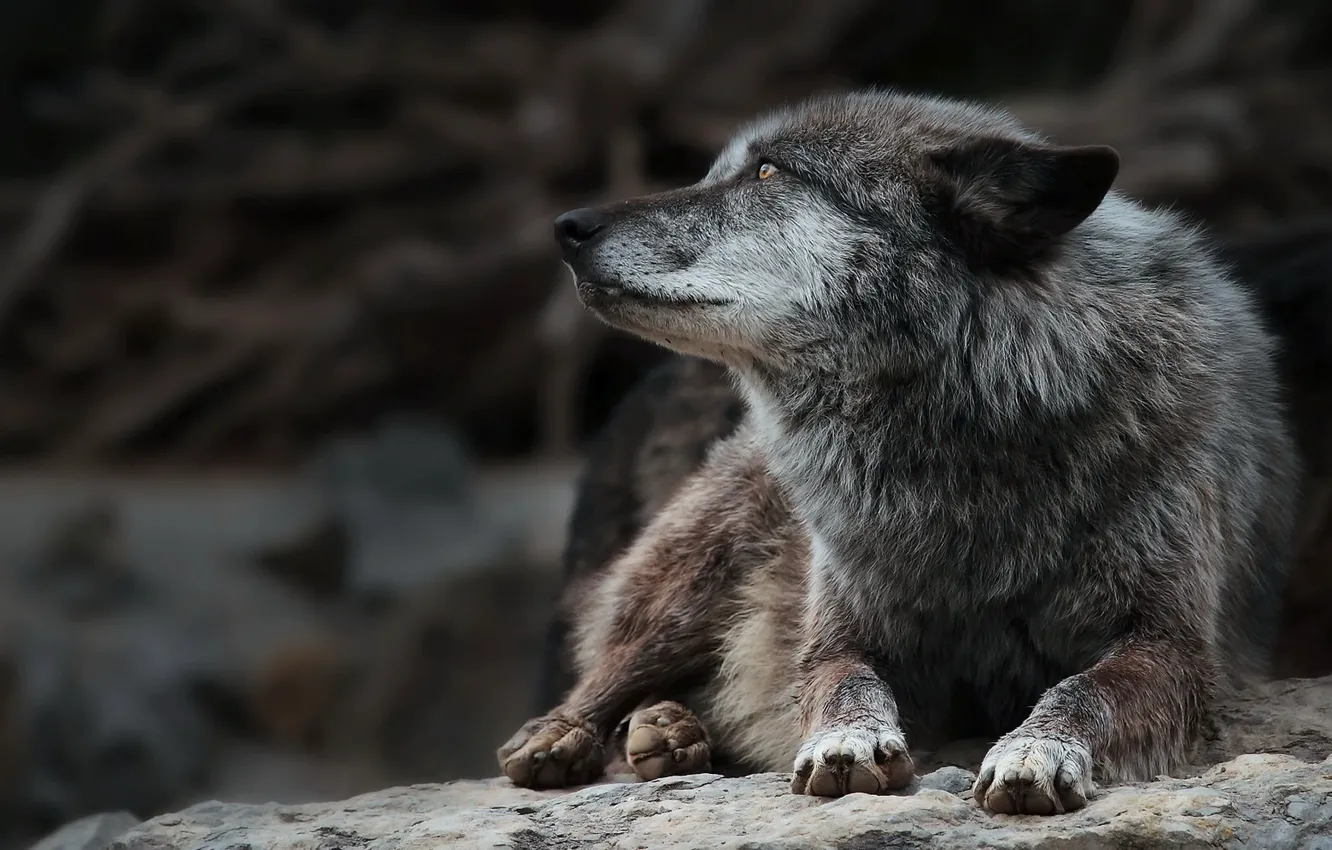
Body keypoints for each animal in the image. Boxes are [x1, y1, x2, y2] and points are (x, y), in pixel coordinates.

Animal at [498, 89, 1301, 816]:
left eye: (767, 172)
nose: (569, 226)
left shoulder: (1174, 647)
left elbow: (1084, 689)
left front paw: (1038, 750)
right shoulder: (840, 636)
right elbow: (843, 681)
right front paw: (846, 742)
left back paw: (671, 734)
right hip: (699, 576)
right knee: (608, 674)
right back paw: (585, 734)